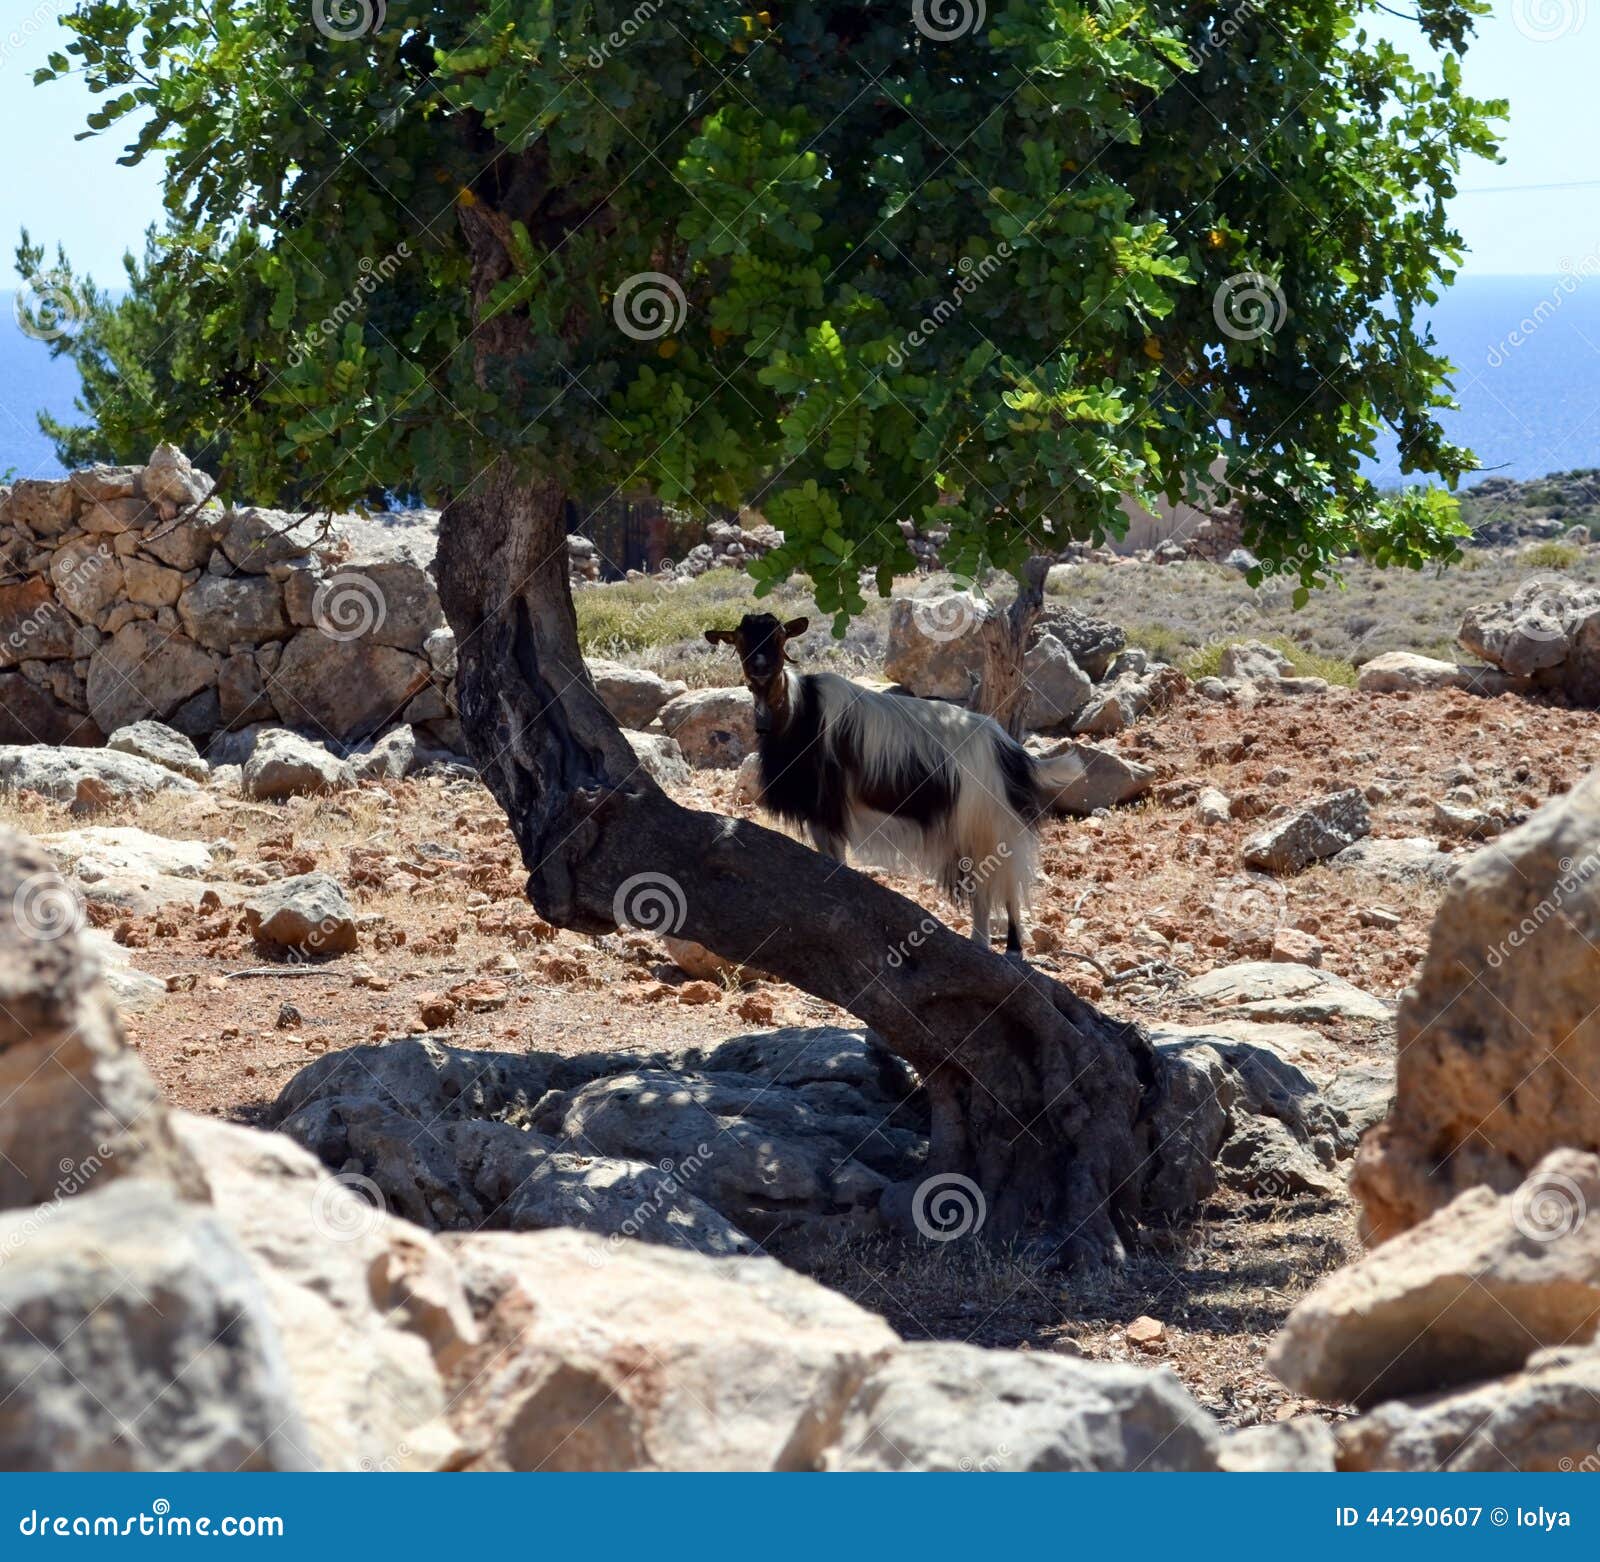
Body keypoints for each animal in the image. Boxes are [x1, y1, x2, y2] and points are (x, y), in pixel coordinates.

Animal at [705, 612, 1081, 957]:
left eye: (780, 637)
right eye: (740, 639)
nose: (760, 668)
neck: (800, 713)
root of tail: (1015, 754)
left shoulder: (829, 809)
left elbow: (836, 862)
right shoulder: (820, 814)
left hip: (991, 825)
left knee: (1005, 888)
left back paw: (1011, 949)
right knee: (984, 891)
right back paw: (982, 944)